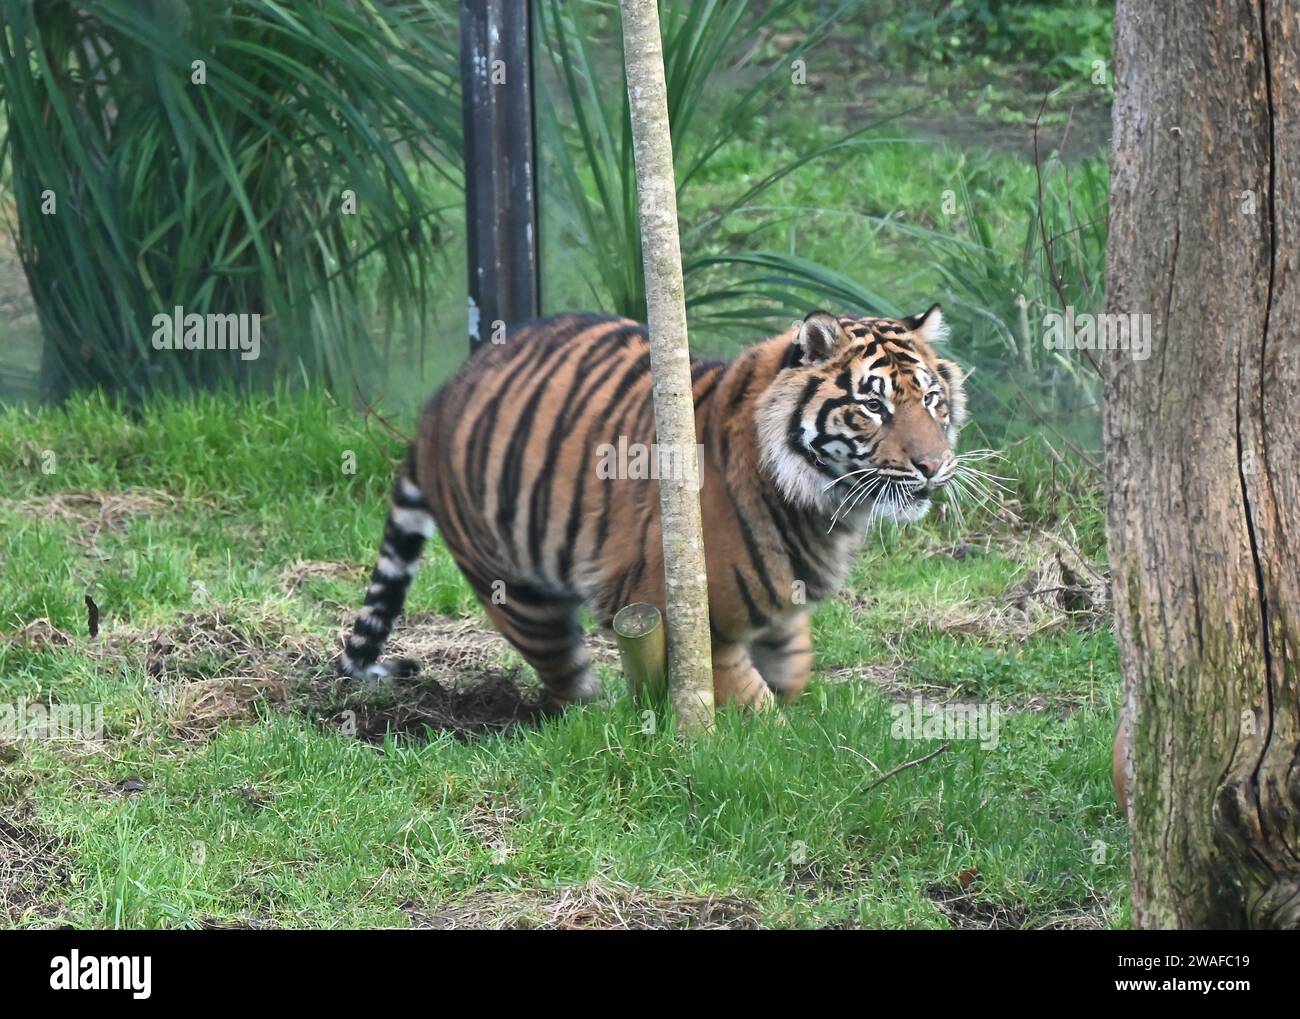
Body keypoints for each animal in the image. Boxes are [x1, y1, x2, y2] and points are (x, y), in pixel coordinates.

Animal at [339, 306, 968, 709]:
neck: (818, 504)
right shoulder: (681, 613)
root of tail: (435, 403)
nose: (934, 465)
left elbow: (793, 667)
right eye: (873, 406)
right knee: (566, 681)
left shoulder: (781, 605)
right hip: (518, 588)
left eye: (932, 399)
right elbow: (746, 700)